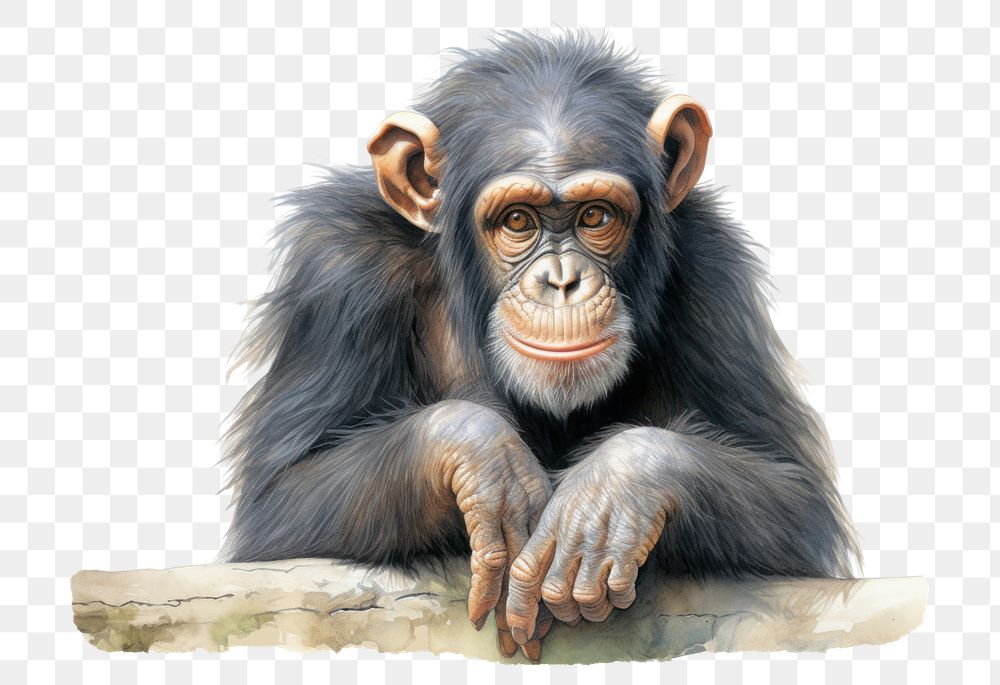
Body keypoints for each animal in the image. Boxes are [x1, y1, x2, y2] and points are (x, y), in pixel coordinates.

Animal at [221, 32, 860, 661]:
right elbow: (280, 497)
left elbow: (796, 498)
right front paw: (488, 464)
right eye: (518, 221)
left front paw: (613, 493)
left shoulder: (712, 263)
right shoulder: (338, 265)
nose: (562, 281)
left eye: (595, 215)